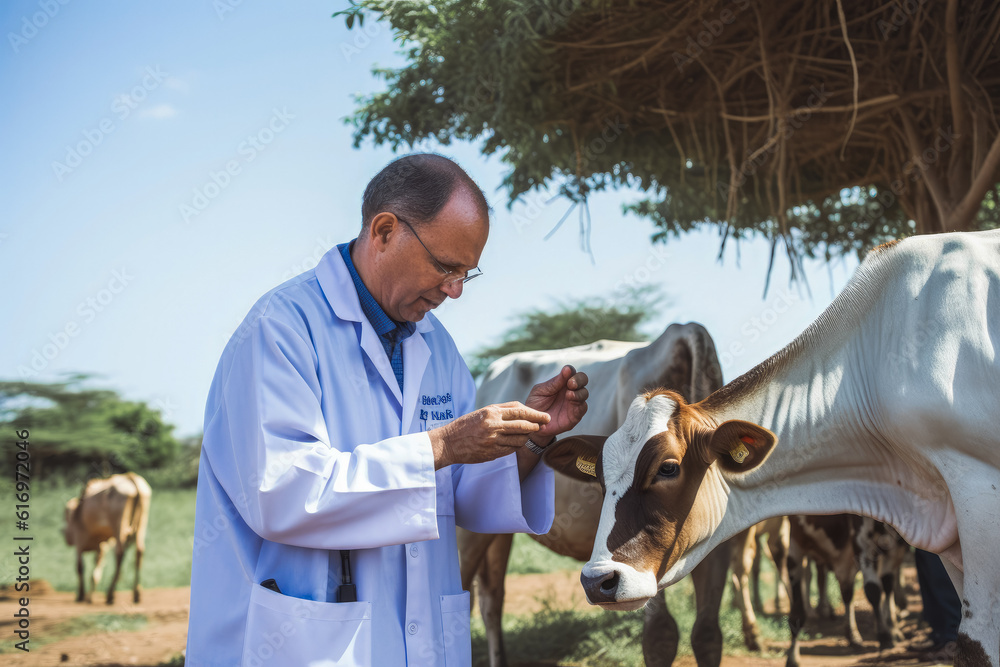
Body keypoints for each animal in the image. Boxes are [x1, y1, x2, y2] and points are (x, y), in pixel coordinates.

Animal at [63, 472, 151, 605]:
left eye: (67, 518)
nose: (67, 538)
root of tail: (131, 477)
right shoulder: (101, 547)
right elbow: (95, 571)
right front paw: (89, 596)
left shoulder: (79, 542)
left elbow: (80, 567)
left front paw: (81, 595)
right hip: (141, 523)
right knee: (139, 553)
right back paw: (136, 594)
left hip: (119, 524)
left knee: (119, 553)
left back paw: (111, 594)